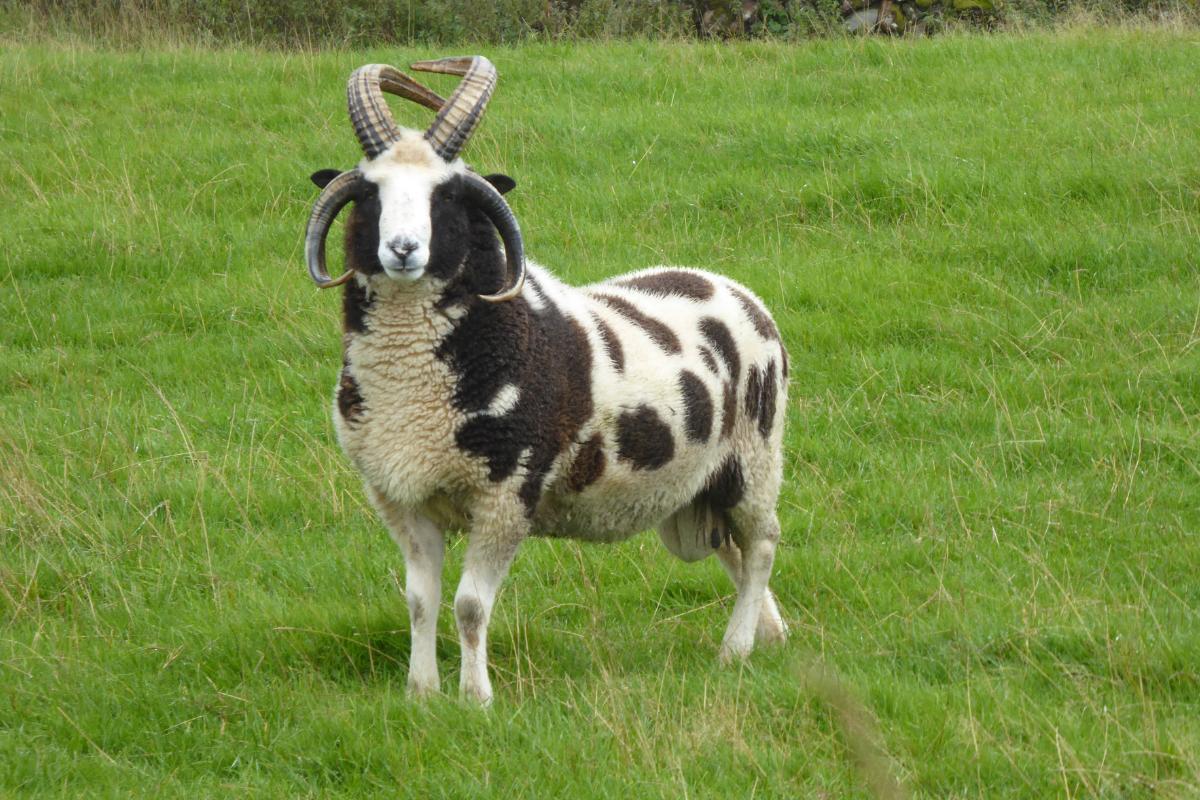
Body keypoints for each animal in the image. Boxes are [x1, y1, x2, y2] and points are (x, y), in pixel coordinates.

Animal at [304, 56, 789, 703]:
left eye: (448, 196)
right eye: (369, 192)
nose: (403, 249)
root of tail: (734, 290)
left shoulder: (508, 492)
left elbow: (469, 607)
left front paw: (476, 699)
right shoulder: (400, 496)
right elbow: (418, 601)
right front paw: (421, 694)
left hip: (754, 462)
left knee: (759, 545)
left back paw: (734, 650)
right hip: (700, 490)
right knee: (733, 552)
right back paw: (770, 636)